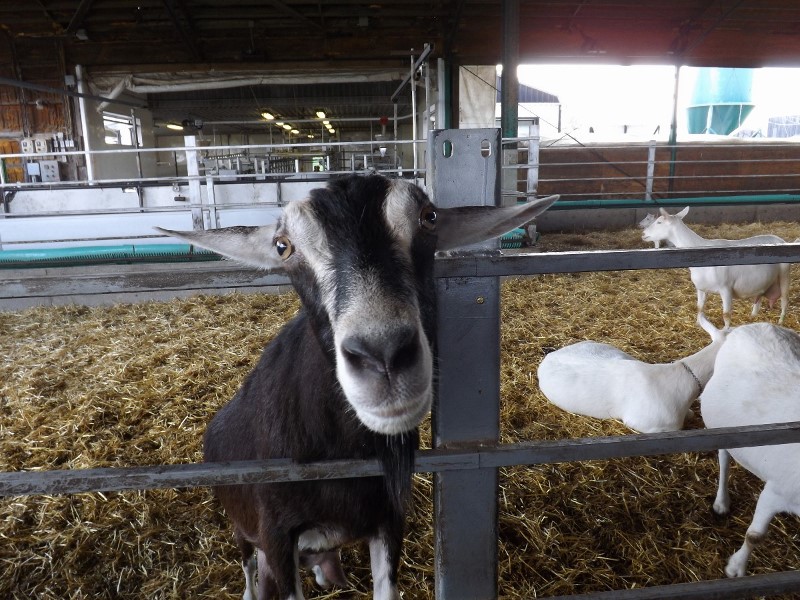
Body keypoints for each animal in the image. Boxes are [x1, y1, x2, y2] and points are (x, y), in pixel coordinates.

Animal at [157, 174, 557, 600]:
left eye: (429, 217)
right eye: (283, 247)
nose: (382, 355)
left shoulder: (389, 518)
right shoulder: (276, 532)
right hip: (243, 528)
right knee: (249, 564)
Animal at [641, 207, 790, 328]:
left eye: (659, 222)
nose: (643, 234)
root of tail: (780, 240)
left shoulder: (726, 288)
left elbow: (726, 314)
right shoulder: (701, 288)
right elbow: (700, 307)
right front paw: (699, 324)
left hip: (784, 274)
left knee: (784, 300)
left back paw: (781, 322)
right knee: (758, 299)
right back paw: (753, 317)